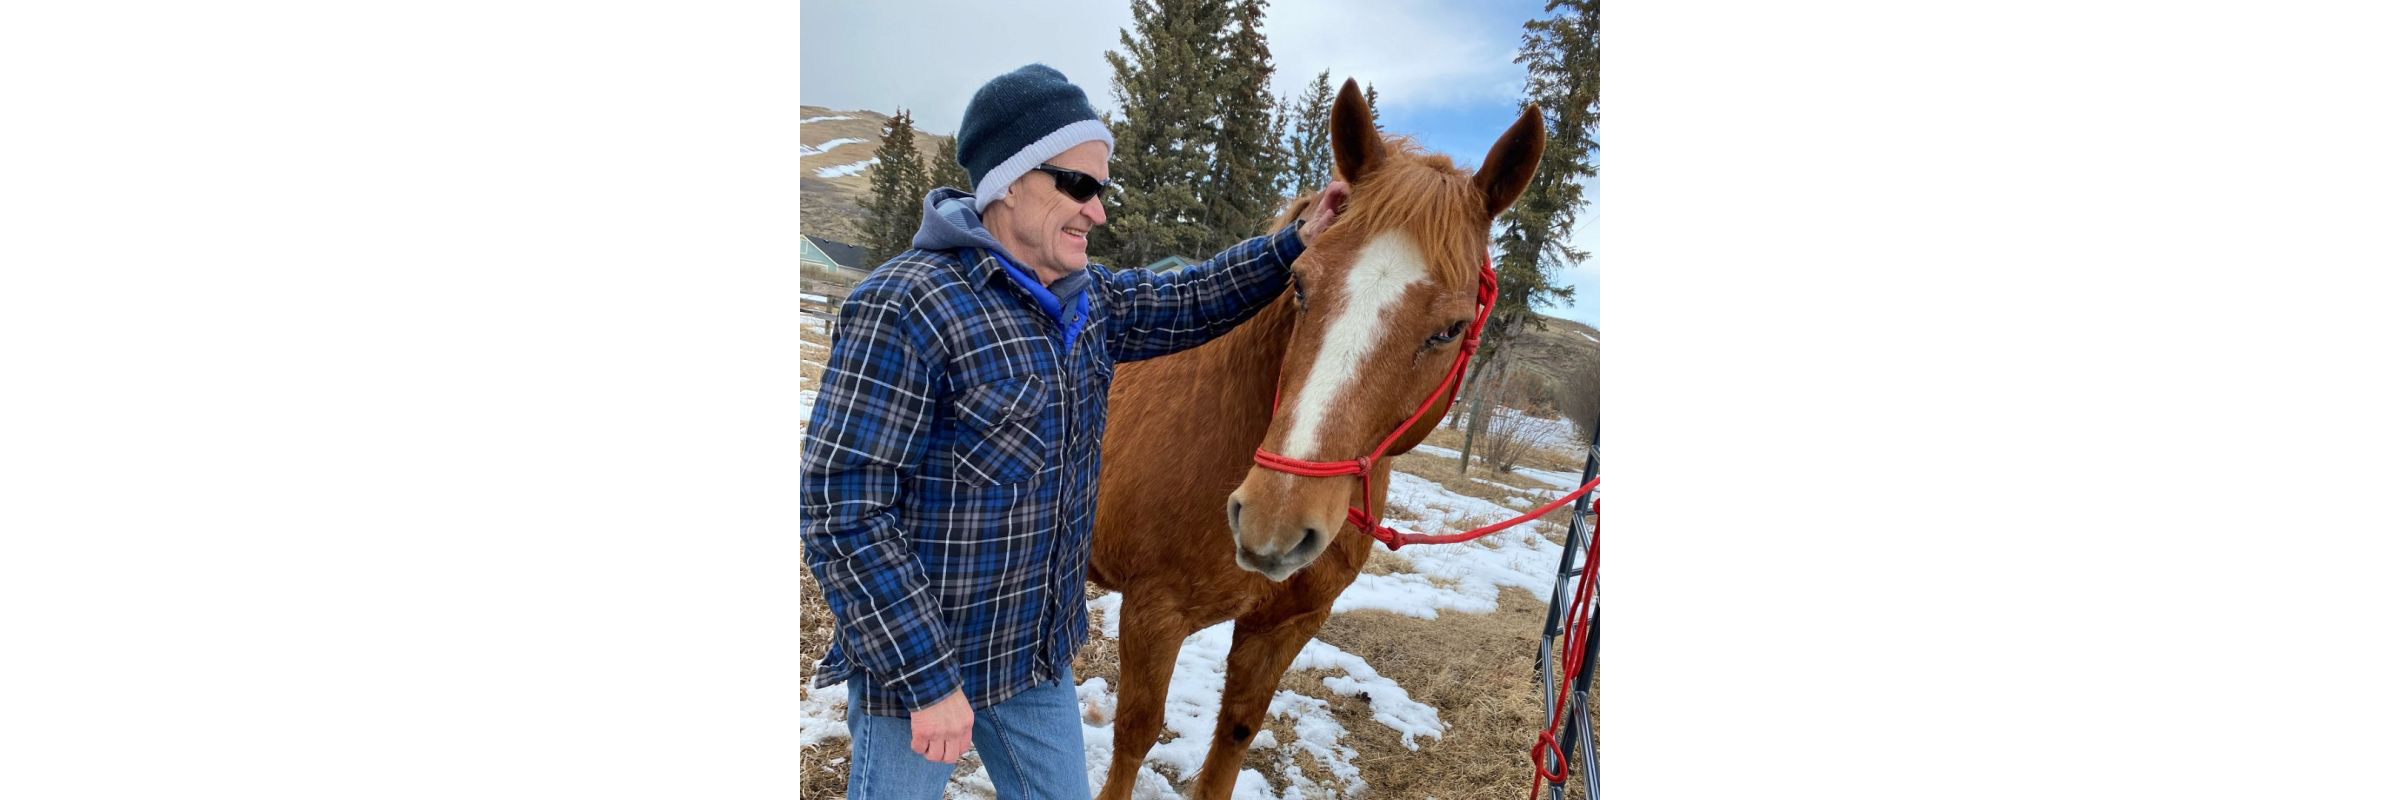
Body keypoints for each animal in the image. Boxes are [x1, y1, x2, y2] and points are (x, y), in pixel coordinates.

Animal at [1086, 79, 1545, 800]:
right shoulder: (1152, 615)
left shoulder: (1285, 629)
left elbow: (1234, 738)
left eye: (1449, 329)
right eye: (1300, 283)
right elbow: (1134, 735)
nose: (1272, 523)